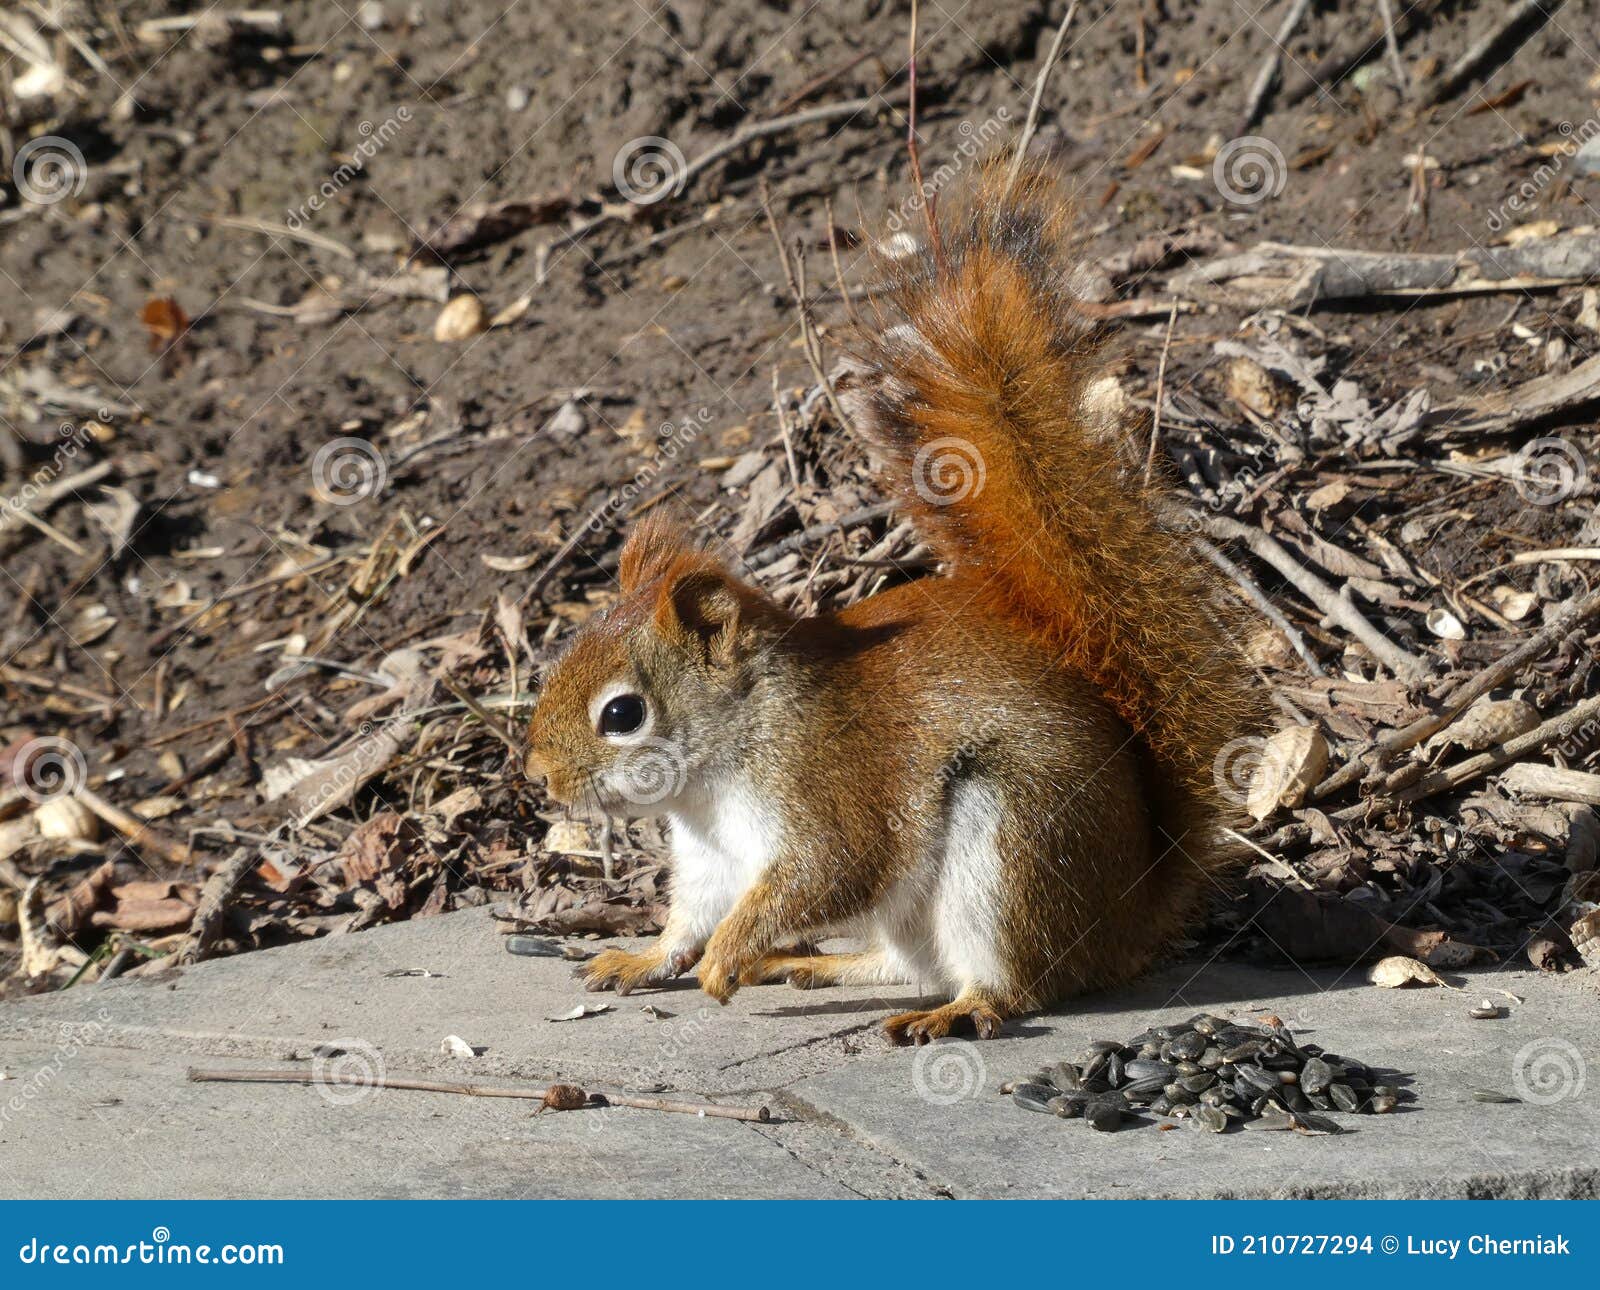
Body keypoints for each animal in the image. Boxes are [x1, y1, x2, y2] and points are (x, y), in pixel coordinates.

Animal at [524, 165, 1261, 1044]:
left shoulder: (831, 785)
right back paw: (822, 965)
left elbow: (831, 869)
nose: (540, 779)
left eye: (623, 714)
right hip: (931, 904)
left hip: (1012, 839)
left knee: (1015, 983)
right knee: (907, 962)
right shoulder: (709, 858)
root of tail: (1126, 919)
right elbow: (690, 917)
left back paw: (958, 1007)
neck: (727, 759)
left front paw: (727, 956)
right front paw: (646, 958)